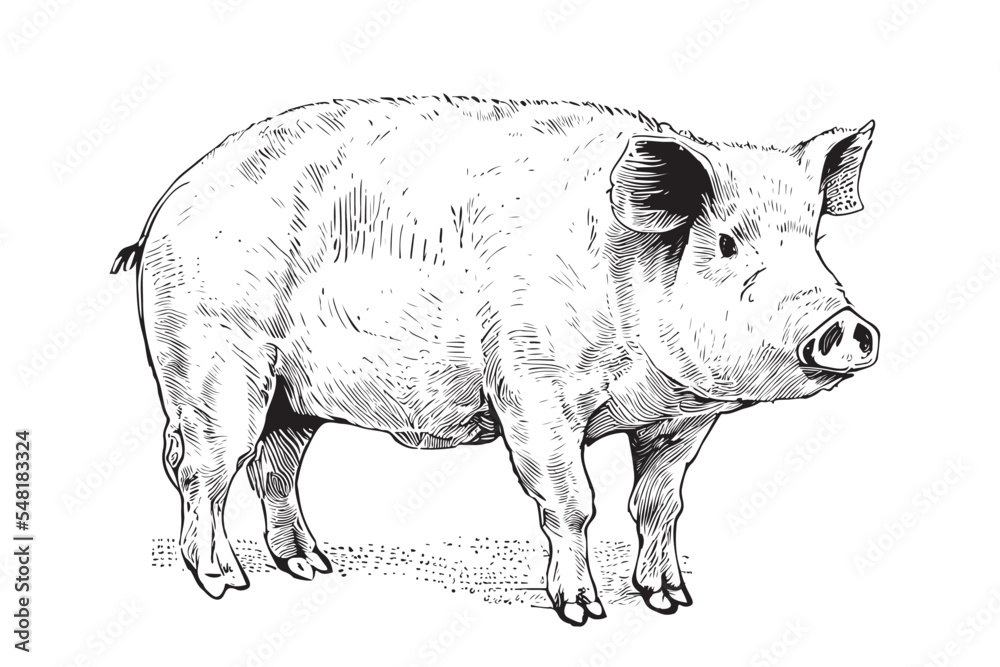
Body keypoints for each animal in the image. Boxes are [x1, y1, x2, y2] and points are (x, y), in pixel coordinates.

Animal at [111, 96, 879, 625]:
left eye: (815, 241)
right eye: (725, 243)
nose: (846, 324)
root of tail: (160, 215)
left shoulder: (679, 422)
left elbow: (658, 503)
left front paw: (671, 599)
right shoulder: (533, 391)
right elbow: (572, 502)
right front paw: (583, 612)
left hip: (292, 396)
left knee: (273, 468)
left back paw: (310, 565)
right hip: (212, 367)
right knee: (201, 470)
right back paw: (223, 581)